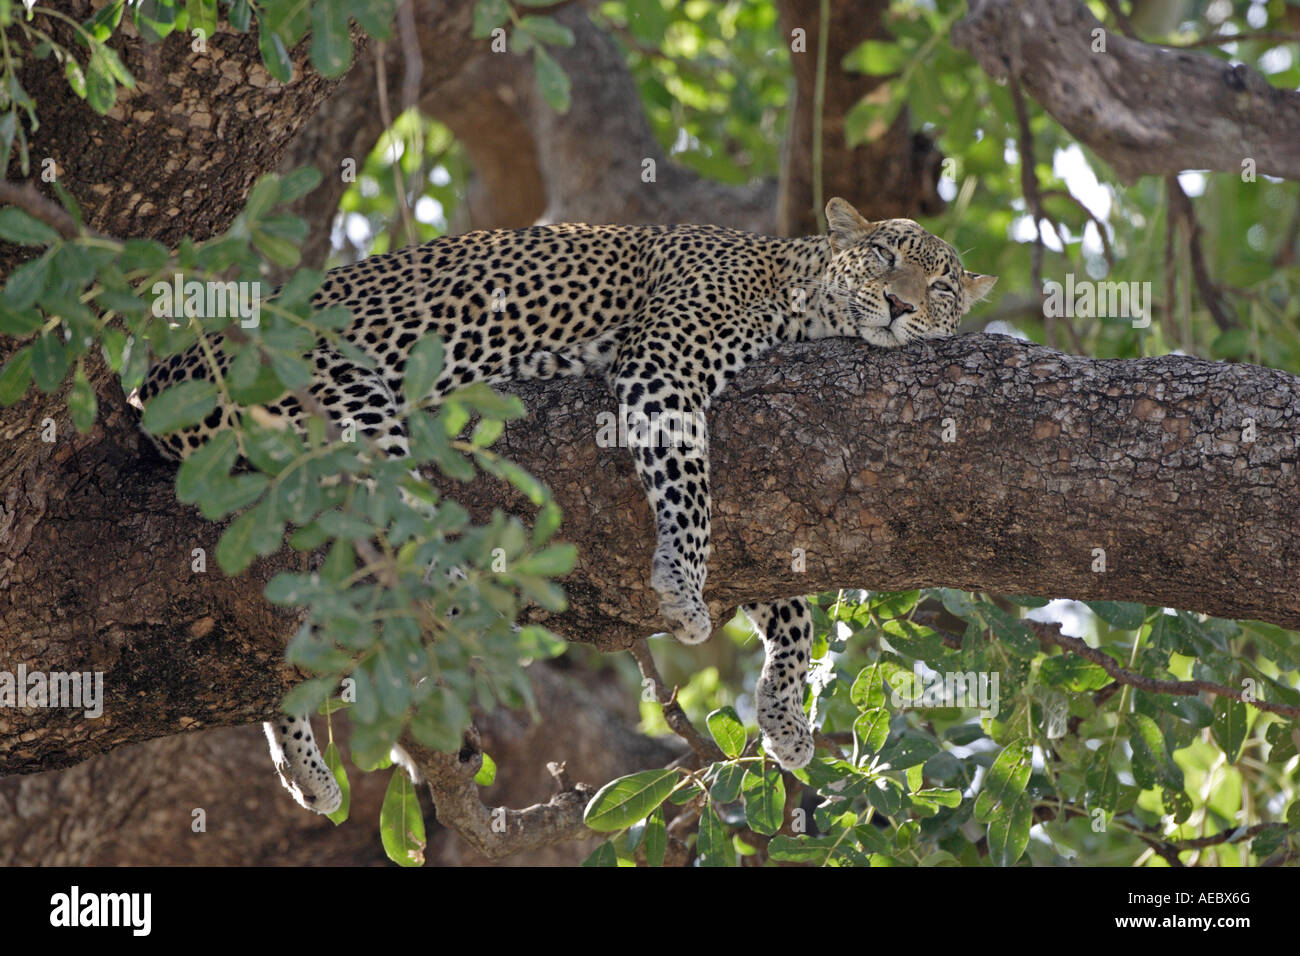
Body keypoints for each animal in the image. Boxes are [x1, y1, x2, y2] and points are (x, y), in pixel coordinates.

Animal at [140, 197, 996, 814]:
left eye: (942, 287)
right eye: (884, 255)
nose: (898, 305)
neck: (792, 288)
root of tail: (157, 373)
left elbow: (788, 605)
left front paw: (784, 715)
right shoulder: (662, 365)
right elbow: (690, 488)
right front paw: (680, 586)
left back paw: (304, 768)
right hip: (337, 394)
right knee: (397, 519)